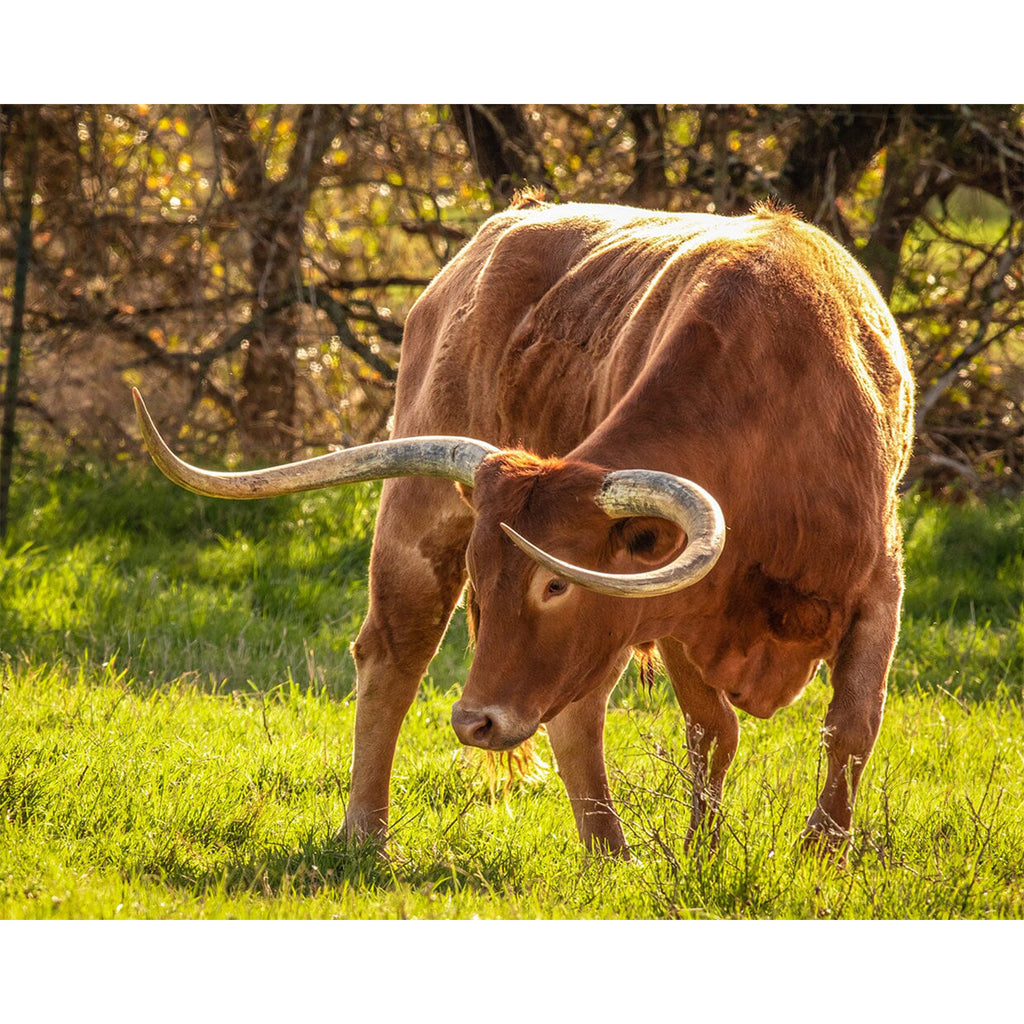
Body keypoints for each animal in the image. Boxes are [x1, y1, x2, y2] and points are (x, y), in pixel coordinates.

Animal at [133, 193, 914, 858]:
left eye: (555, 586)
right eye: (482, 581)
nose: (472, 722)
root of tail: (499, 230)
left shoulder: (879, 586)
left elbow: (852, 727)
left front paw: (820, 852)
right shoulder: (676, 612)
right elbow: (713, 730)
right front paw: (702, 852)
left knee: (571, 708)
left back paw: (605, 851)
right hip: (420, 523)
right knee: (398, 658)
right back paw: (375, 835)